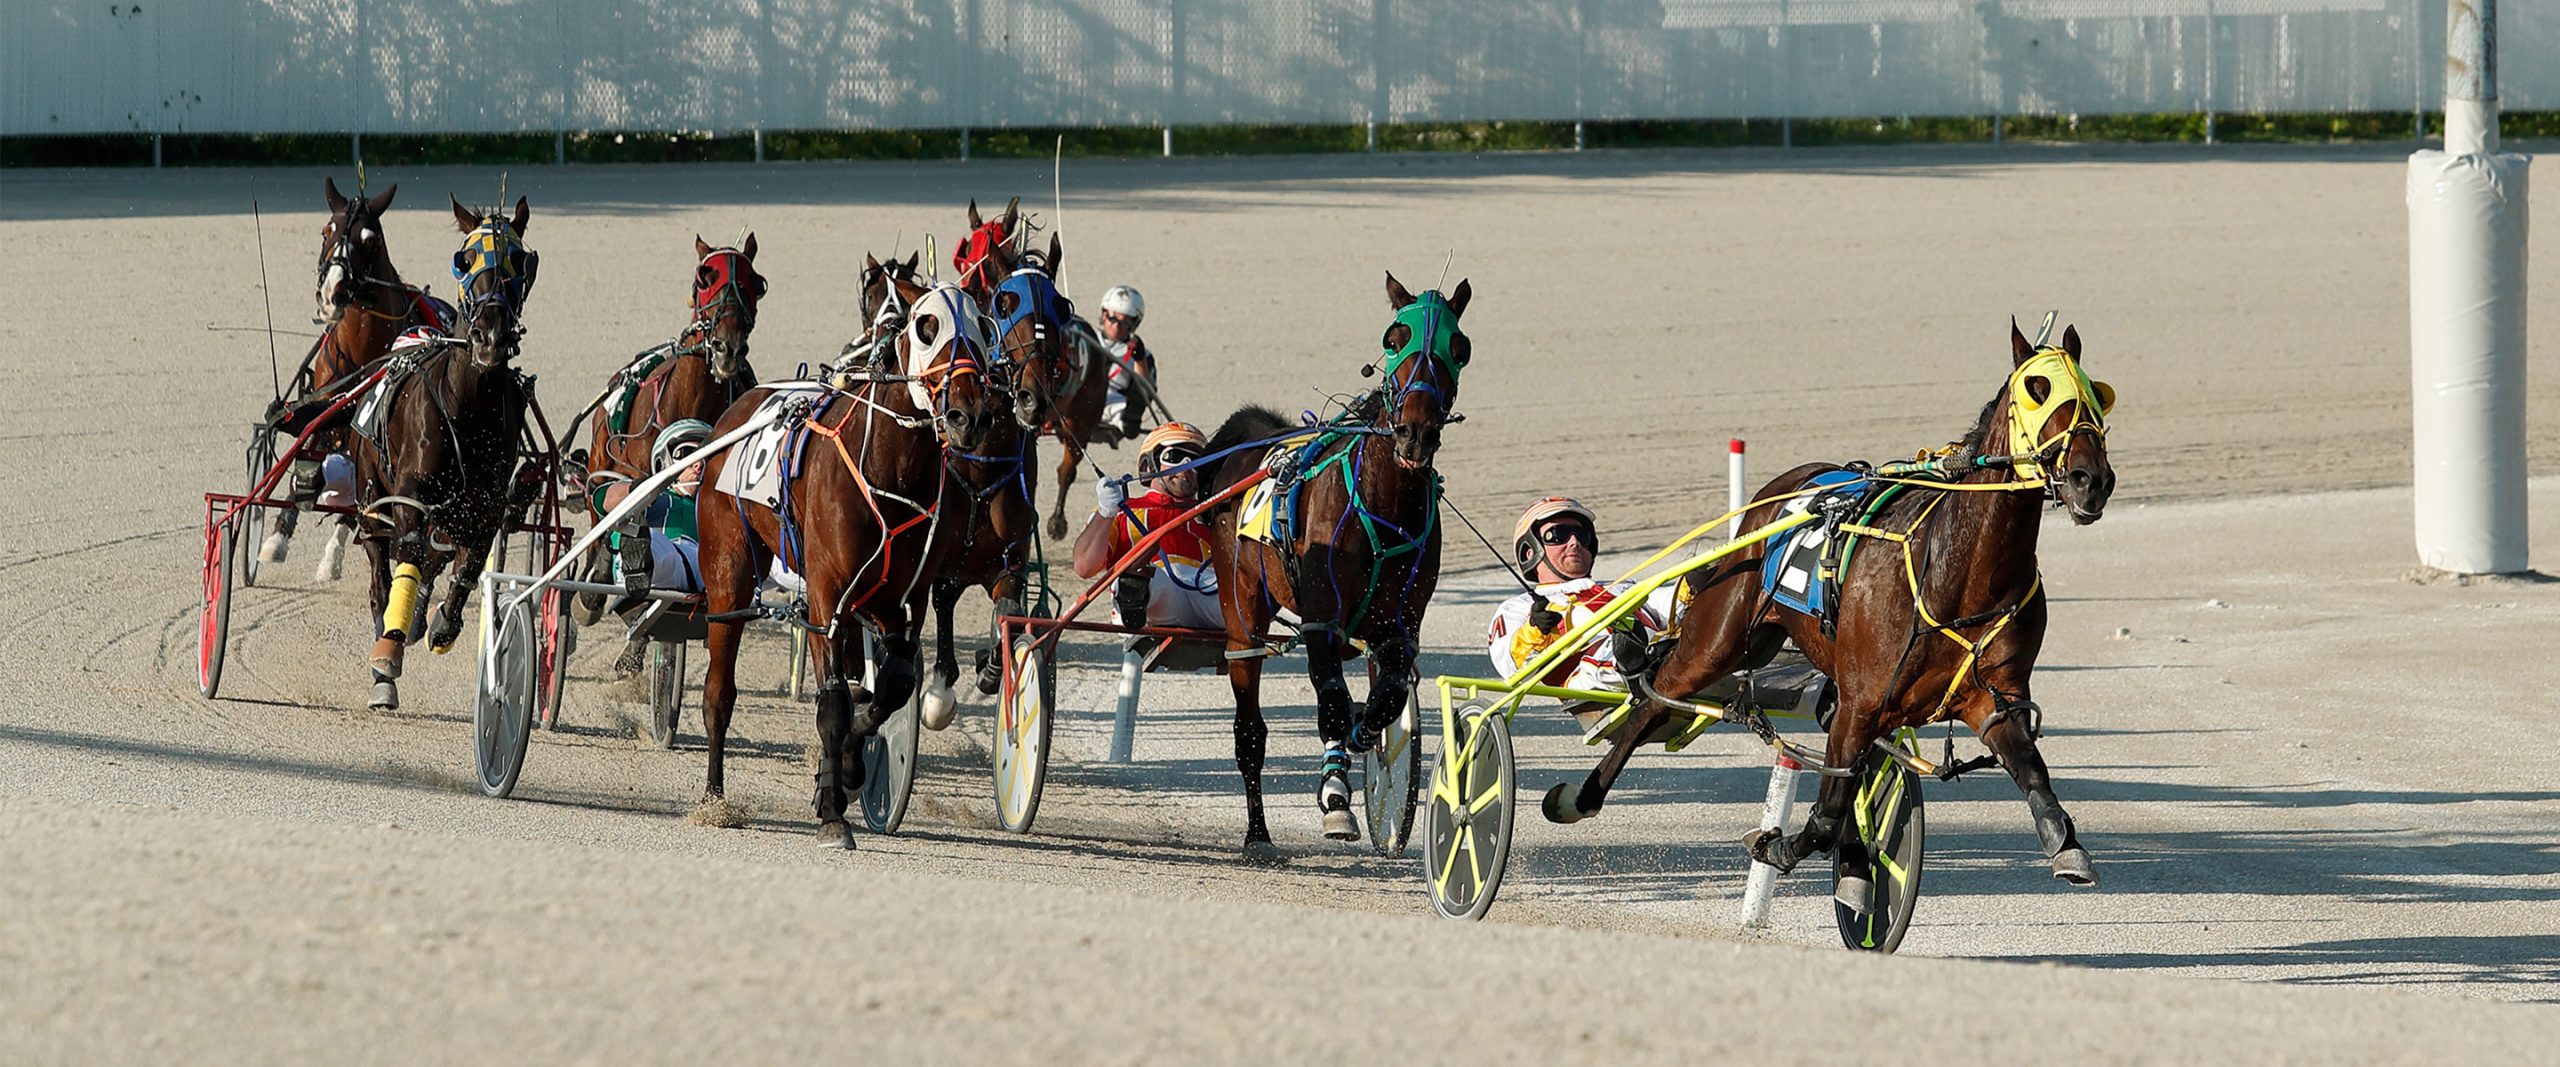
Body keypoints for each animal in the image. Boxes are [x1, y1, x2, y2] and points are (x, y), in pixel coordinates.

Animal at [345, 195, 540, 711]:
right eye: (466, 258)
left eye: (520, 260)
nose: (490, 336)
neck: (467, 405)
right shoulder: (411, 491)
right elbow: (411, 549)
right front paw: (388, 652)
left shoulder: (485, 504)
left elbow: (470, 562)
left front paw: (442, 623)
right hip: (369, 497)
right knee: (382, 572)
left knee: (437, 558)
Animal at [691, 273, 1008, 849]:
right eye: (926, 326)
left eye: (982, 326)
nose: (969, 415)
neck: (890, 470)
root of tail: (740, 406)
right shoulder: (826, 597)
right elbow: (834, 703)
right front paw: (834, 812)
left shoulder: (905, 598)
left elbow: (893, 685)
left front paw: (848, 761)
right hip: (727, 570)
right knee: (718, 692)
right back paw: (714, 798)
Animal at [1203, 272, 1474, 849]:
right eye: (1394, 339)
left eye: (1458, 347)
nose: (1415, 432)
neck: (1384, 503)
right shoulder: (1321, 618)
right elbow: (1328, 698)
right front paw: (1335, 795)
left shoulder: (1401, 625)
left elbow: (1386, 696)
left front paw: (1366, 733)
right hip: (1241, 608)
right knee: (1249, 725)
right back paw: (1257, 833)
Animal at [1556, 319, 2119, 910]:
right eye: (2037, 389)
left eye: (2096, 394)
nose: (2090, 479)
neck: (1958, 572)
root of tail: (1788, 482)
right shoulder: (1863, 698)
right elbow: (1827, 811)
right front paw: (1778, 843)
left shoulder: (1990, 697)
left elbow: (2030, 770)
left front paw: (2066, 845)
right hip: (1720, 635)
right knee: (1654, 698)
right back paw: (1579, 796)